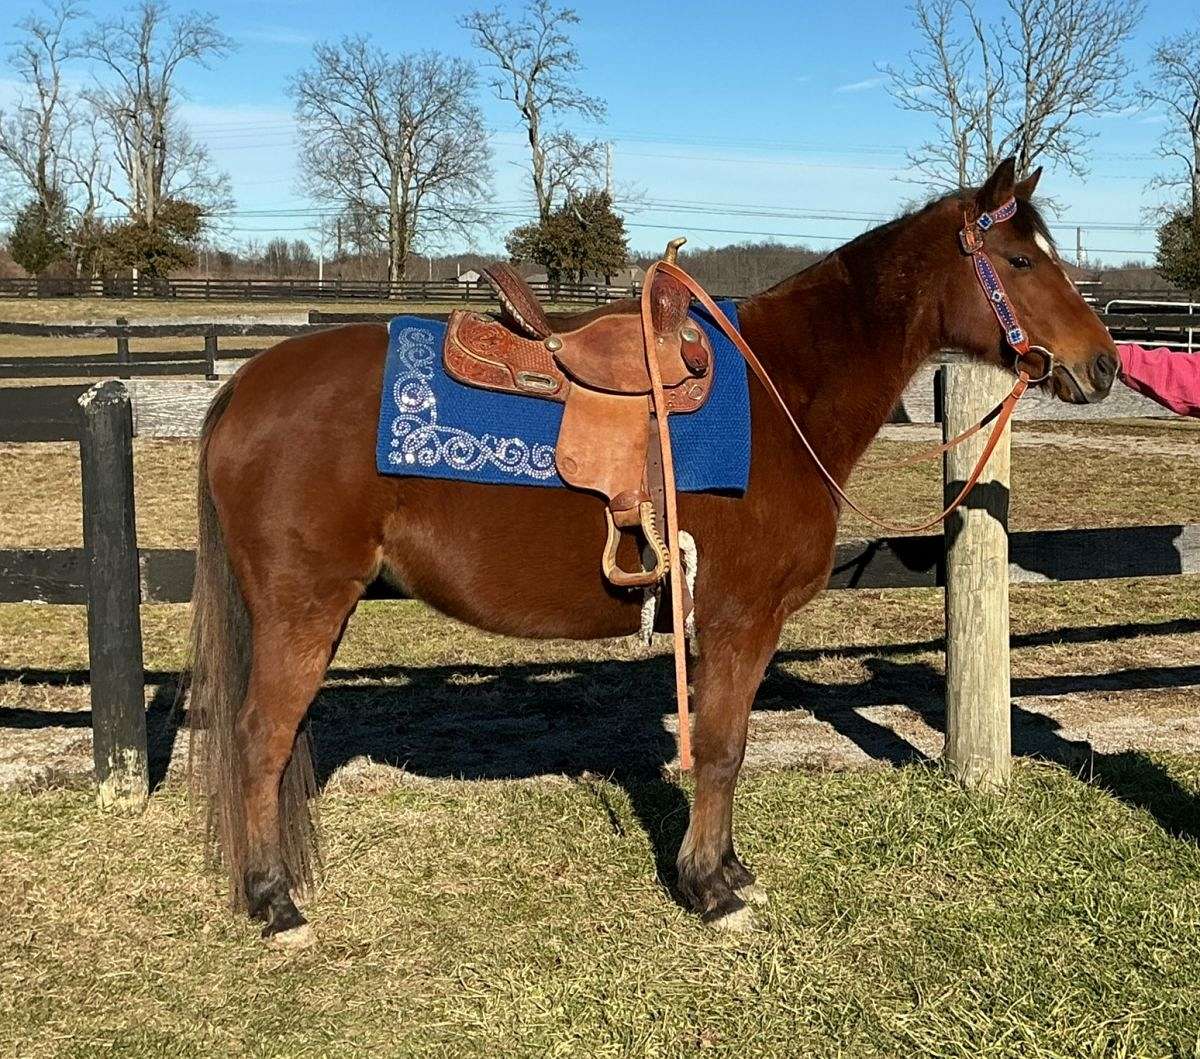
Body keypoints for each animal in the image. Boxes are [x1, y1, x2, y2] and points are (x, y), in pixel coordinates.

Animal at [189, 158, 1117, 942]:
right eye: (1020, 261)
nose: (1103, 365)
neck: (784, 394)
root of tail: (245, 387)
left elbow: (728, 744)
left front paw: (731, 869)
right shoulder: (740, 619)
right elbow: (721, 746)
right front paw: (709, 888)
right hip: (302, 605)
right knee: (262, 736)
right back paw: (273, 903)